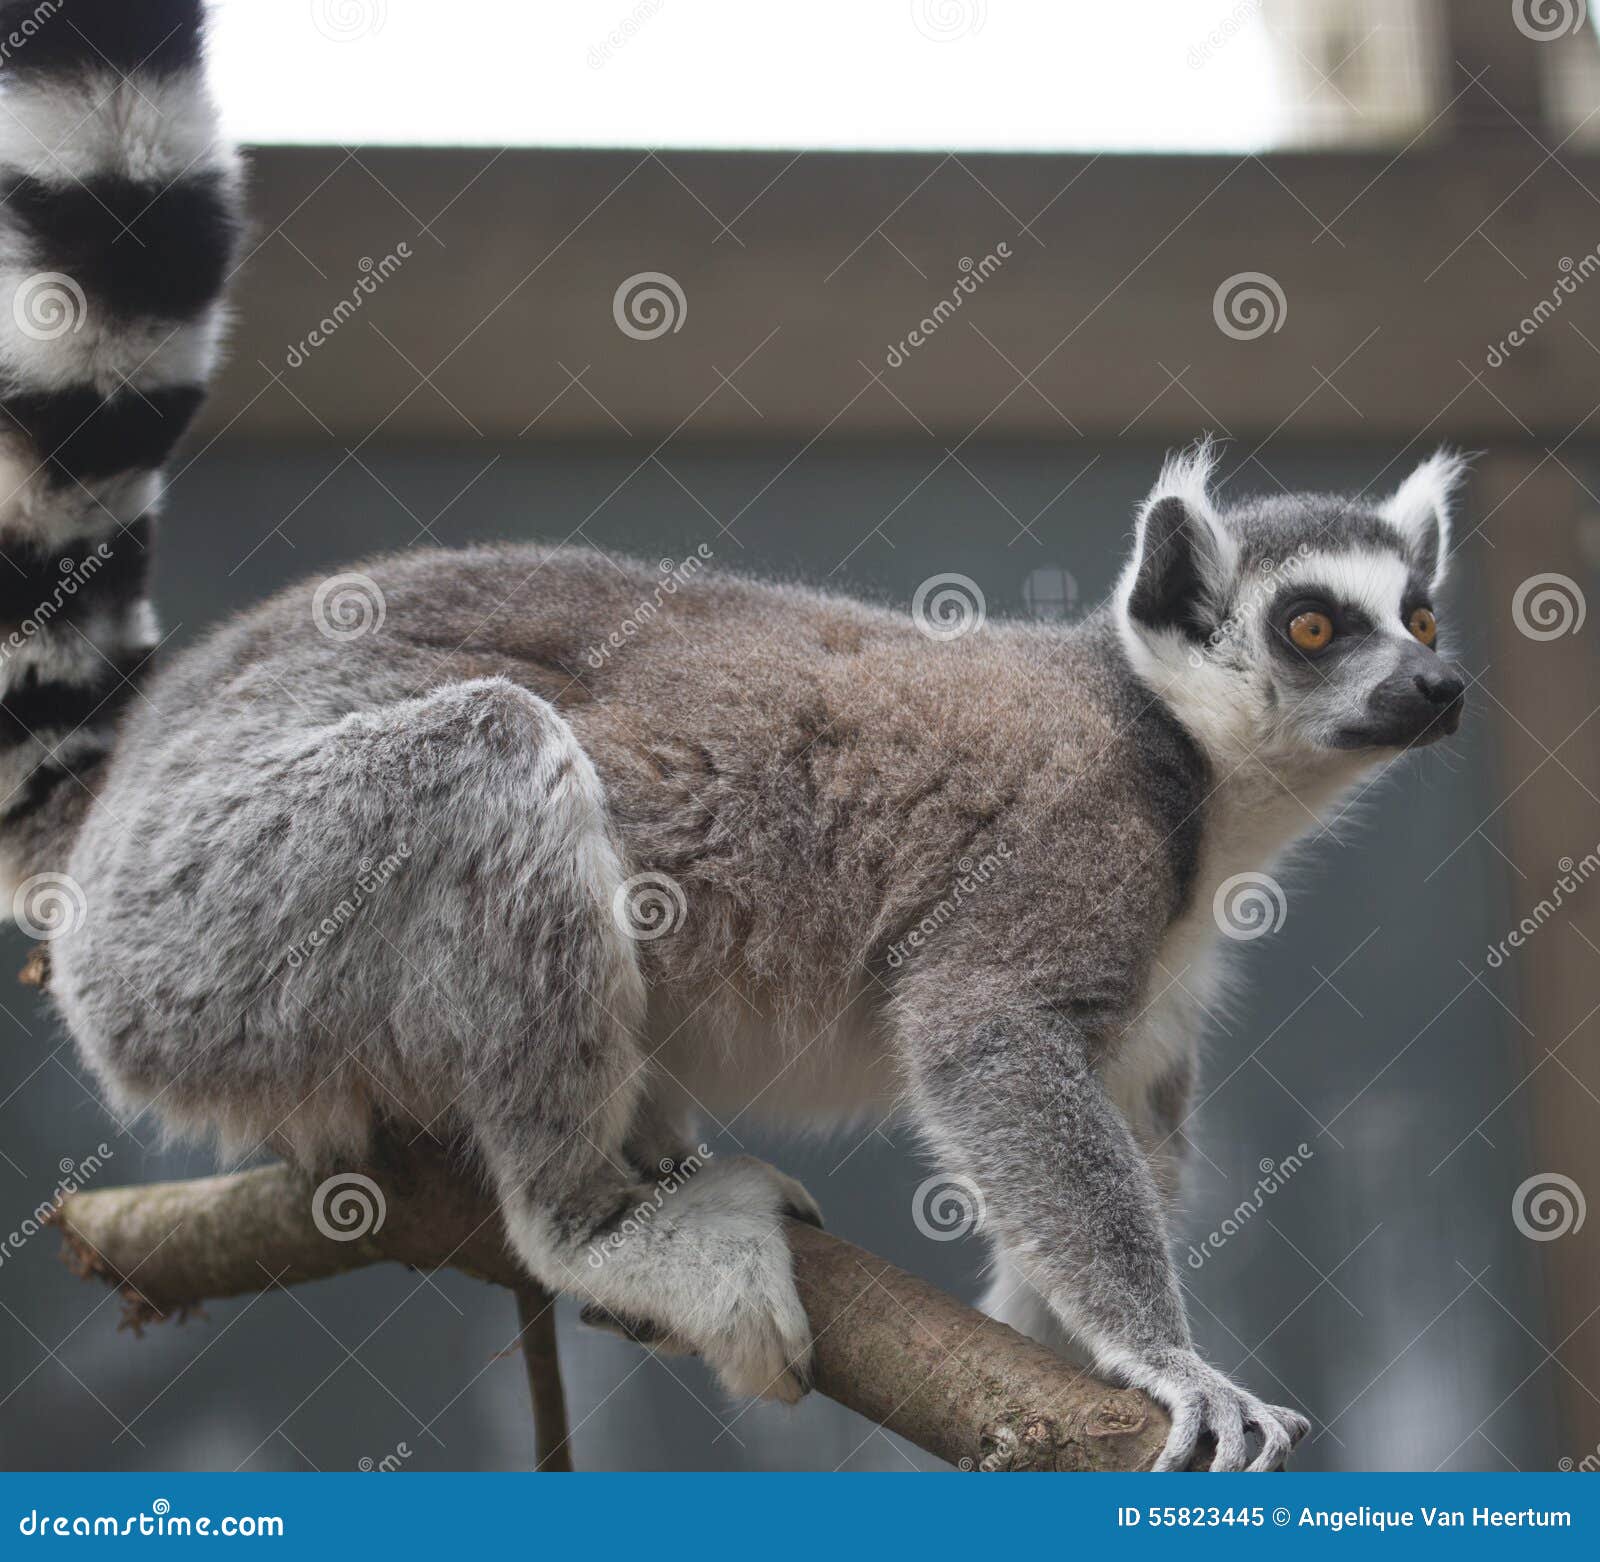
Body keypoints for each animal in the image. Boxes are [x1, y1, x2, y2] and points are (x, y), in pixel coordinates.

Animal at [0, 1, 1468, 1473]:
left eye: (1420, 614)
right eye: (1314, 628)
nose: (1439, 689)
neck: (1190, 771)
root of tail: (126, 795)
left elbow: (1129, 1132)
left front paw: (1052, 1350)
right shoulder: (1073, 847)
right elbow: (990, 1046)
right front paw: (1170, 1364)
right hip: (218, 928)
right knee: (492, 759)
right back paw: (592, 1225)